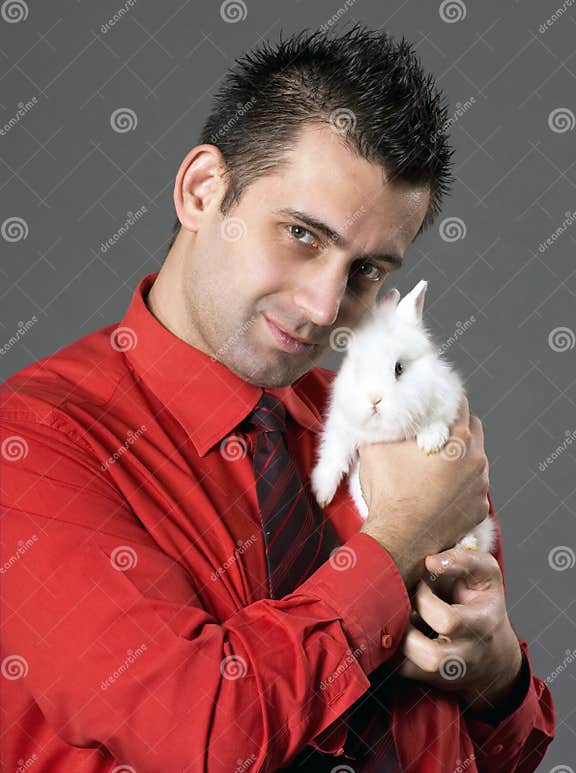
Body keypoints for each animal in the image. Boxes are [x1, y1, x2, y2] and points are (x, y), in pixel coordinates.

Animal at [310, 279, 495, 554]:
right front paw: (322, 493)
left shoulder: (448, 403)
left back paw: (468, 545)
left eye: (399, 368)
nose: (374, 399)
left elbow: (437, 421)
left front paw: (431, 442)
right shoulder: (340, 427)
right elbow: (334, 455)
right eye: (356, 368)